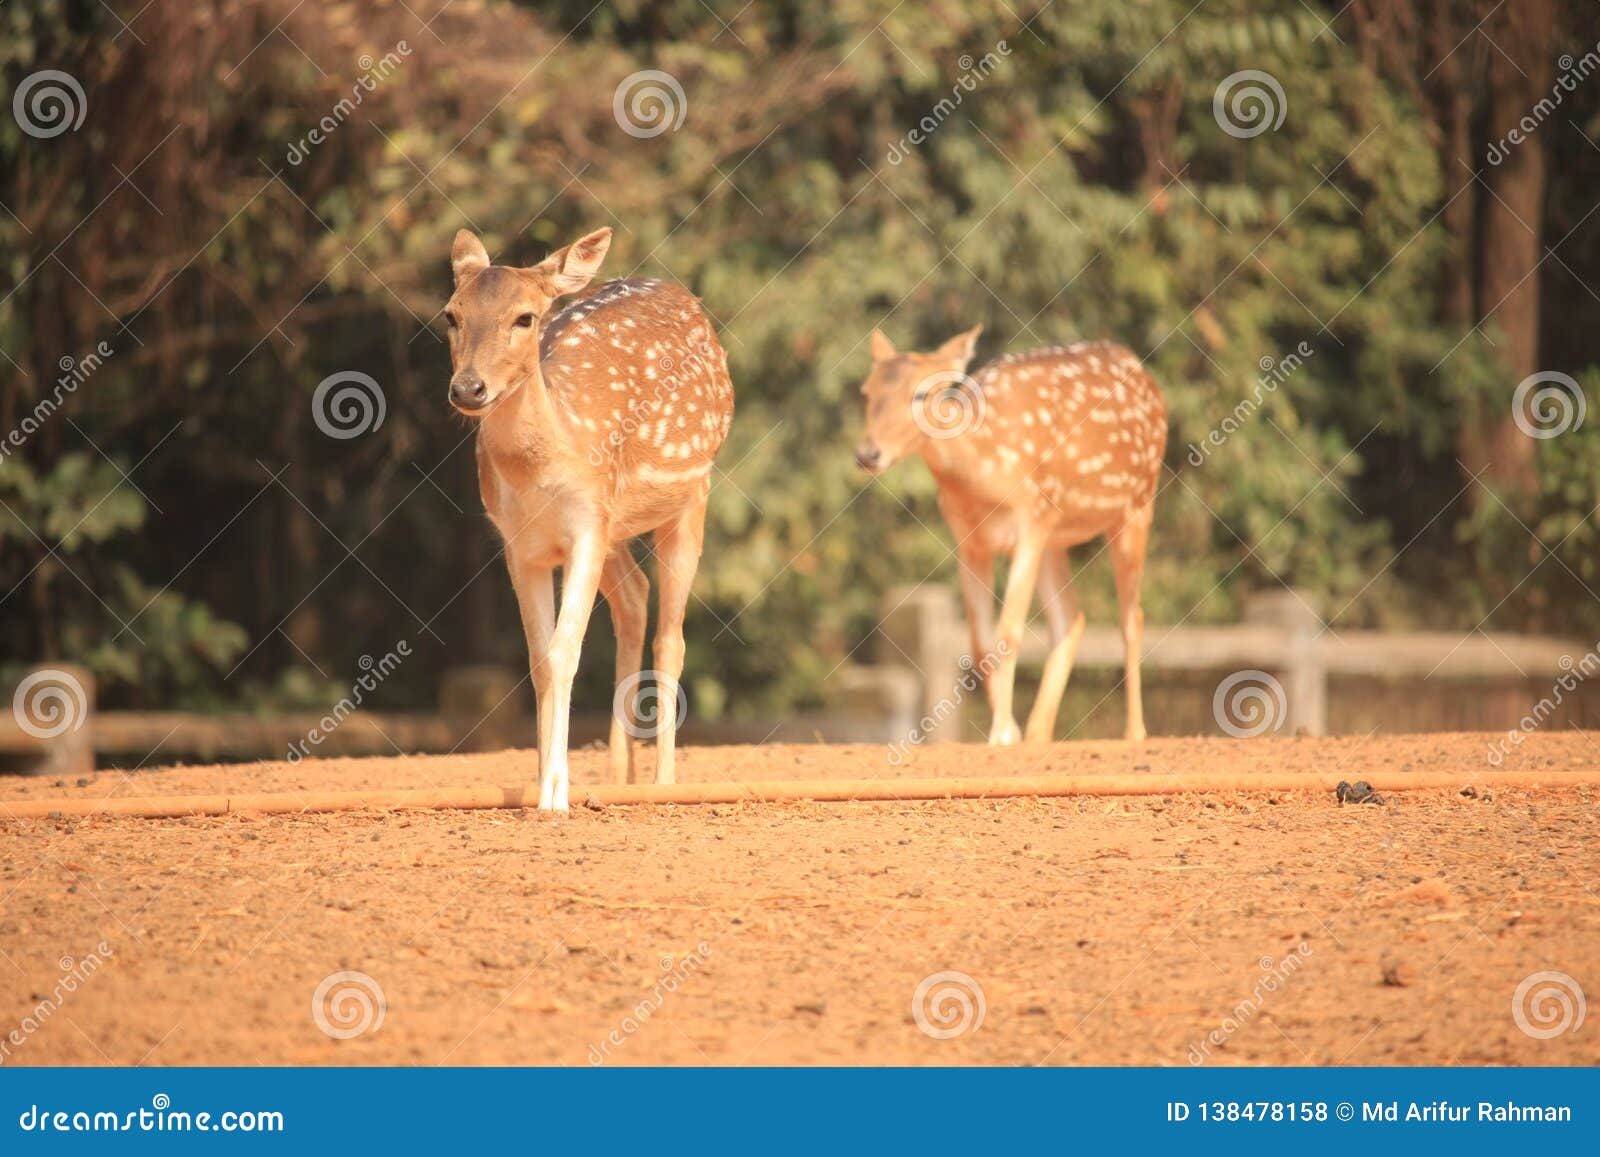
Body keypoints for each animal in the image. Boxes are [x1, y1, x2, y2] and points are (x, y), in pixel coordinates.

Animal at [444, 226, 733, 813]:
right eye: (450, 315)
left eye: (525, 318)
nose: (468, 388)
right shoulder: (520, 543)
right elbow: (538, 660)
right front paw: (542, 781)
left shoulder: (586, 525)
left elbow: (564, 652)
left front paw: (555, 793)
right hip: (616, 526)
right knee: (634, 598)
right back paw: (618, 778)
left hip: (690, 495)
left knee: (671, 637)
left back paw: (663, 783)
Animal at [854, 326, 1166, 745]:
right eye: (866, 392)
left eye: (921, 393)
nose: (867, 454)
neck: (984, 475)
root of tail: (1143, 372)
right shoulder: (970, 542)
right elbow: (980, 643)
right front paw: (1012, 732)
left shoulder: (1029, 521)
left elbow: (1009, 633)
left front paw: (1001, 734)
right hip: (1055, 534)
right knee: (1072, 616)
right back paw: (1039, 732)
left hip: (1137, 502)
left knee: (1131, 617)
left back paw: (1134, 732)